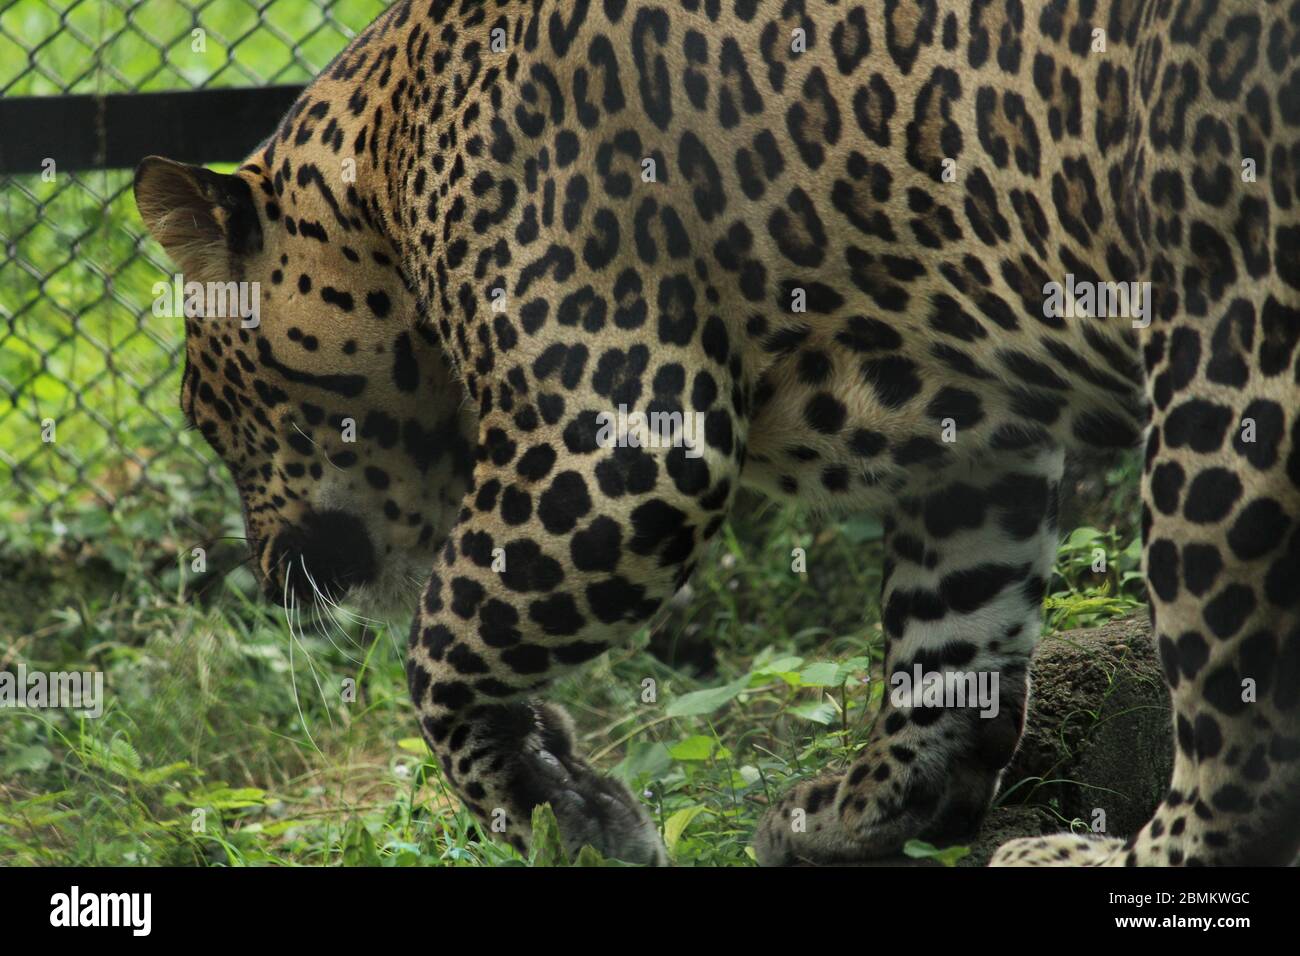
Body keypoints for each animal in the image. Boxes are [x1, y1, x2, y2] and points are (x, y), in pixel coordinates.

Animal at [132, 0, 1300, 867]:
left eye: (205, 412)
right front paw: (861, 808)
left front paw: (559, 808)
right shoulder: (969, 428)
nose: (266, 579)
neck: (381, 183)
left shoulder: (621, 429)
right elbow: (949, 633)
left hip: (1229, 363)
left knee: (1238, 738)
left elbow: (442, 641)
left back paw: (1099, 852)